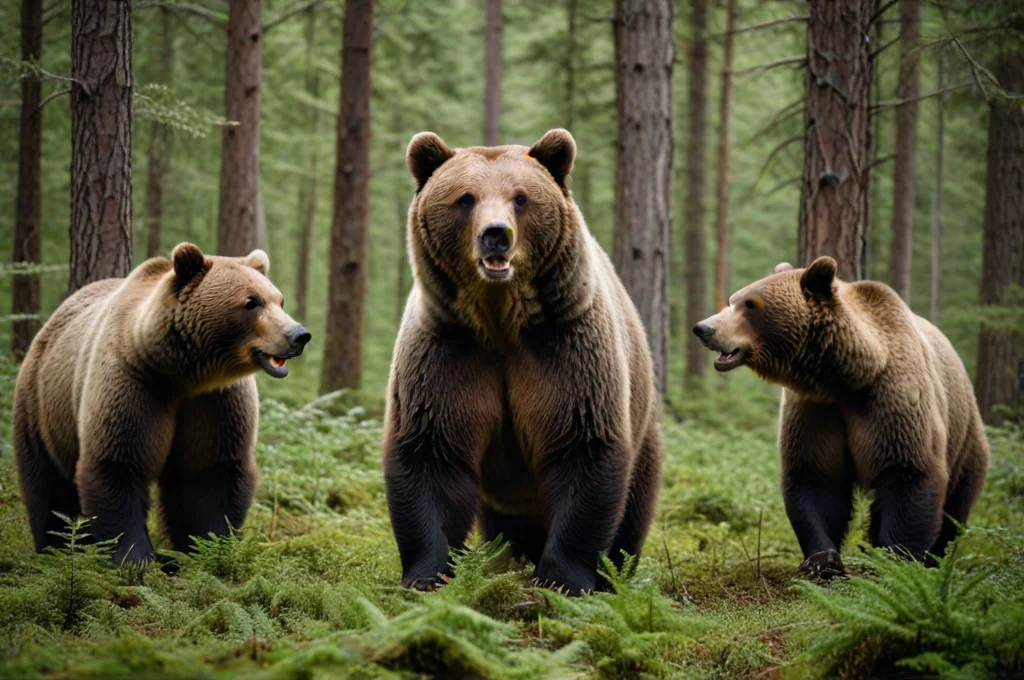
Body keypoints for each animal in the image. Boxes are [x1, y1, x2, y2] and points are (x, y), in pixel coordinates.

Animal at [13, 243, 311, 565]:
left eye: (279, 301)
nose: (299, 335)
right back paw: (53, 546)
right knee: (47, 485)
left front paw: (207, 549)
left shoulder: (216, 402)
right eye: (251, 303)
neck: (184, 373)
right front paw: (135, 556)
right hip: (40, 404)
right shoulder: (135, 384)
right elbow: (117, 462)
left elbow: (211, 475)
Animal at [382, 129, 663, 594]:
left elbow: (582, 447)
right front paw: (428, 574)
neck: (500, 321)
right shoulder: (447, 352)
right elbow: (431, 452)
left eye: (521, 198)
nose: (496, 235)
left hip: (643, 426)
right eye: (466, 198)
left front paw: (563, 579)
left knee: (633, 504)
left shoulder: (566, 350)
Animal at [693, 256, 989, 577]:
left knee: (954, 508)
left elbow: (909, 473)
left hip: (965, 439)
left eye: (750, 304)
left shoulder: (895, 402)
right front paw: (823, 560)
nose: (703, 328)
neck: (846, 379)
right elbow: (816, 478)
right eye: (733, 299)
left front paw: (894, 562)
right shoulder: (816, 411)